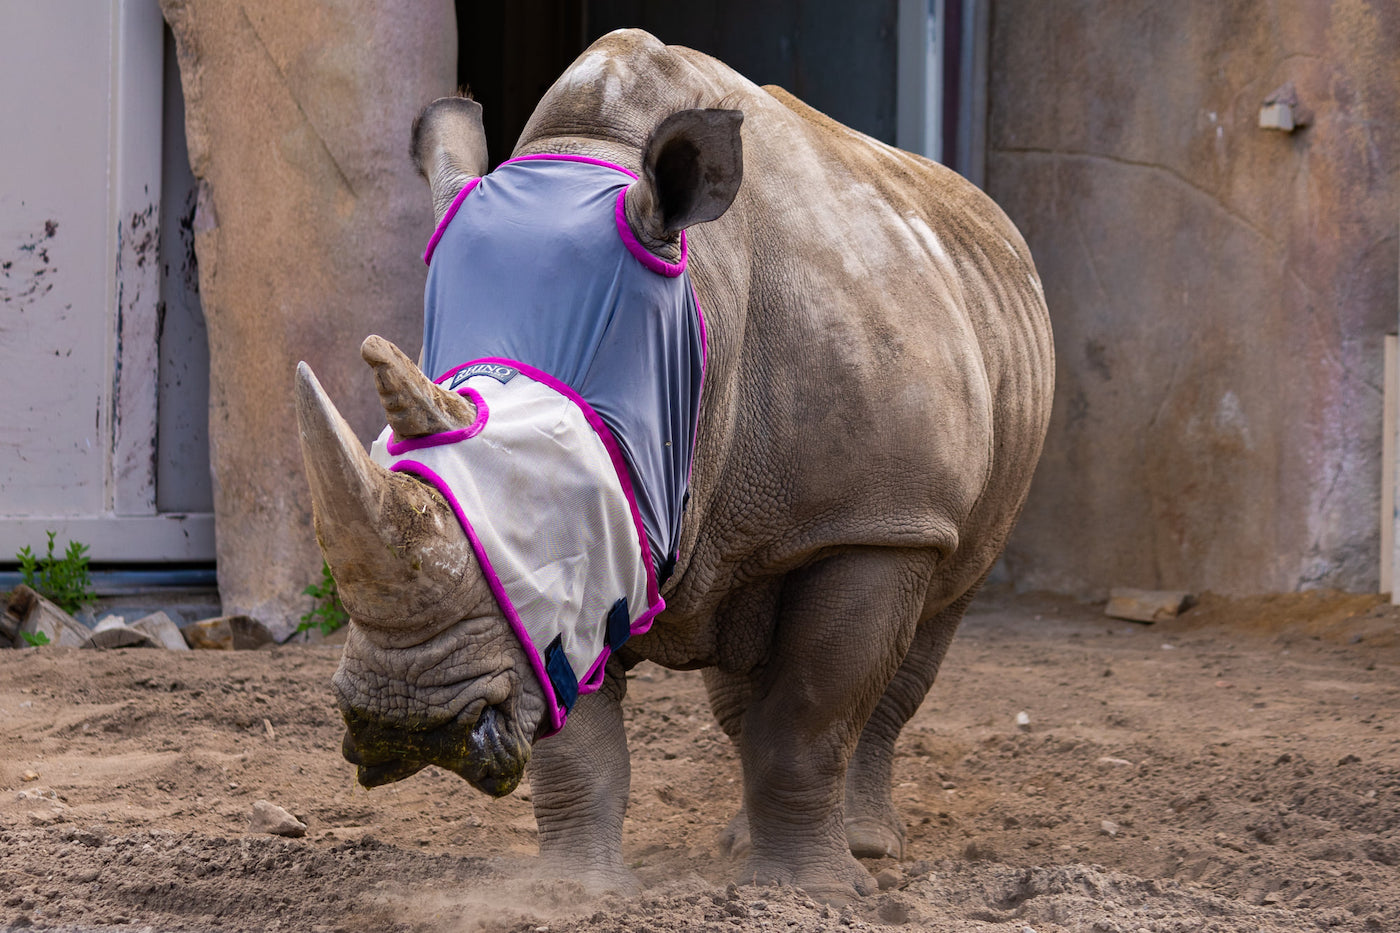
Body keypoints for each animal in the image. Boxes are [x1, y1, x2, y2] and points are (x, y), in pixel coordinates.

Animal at [294, 28, 1052, 900]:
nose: (405, 719)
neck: (706, 301)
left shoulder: (875, 518)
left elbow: (812, 712)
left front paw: (811, 892)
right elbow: (581, 743)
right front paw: (575, 891)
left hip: (939, 487)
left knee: (925, 627)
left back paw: (862, 850)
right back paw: (744, 842)